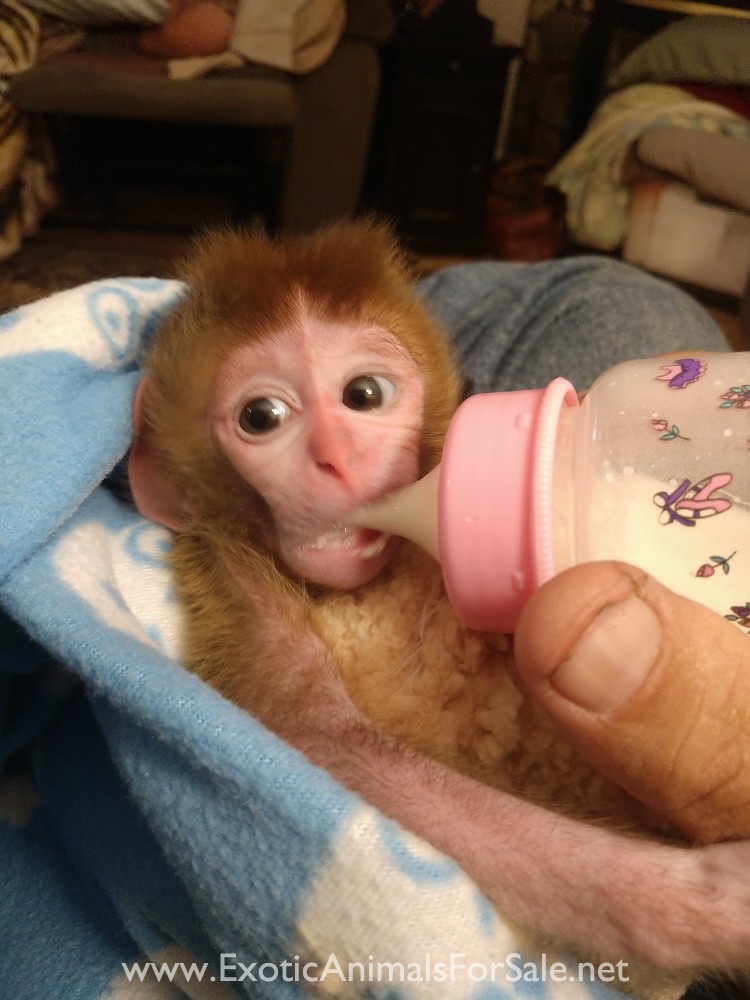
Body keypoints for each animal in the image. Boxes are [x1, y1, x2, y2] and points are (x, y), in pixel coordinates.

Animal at [127, 220, 750, 995]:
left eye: (363, 394)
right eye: (260, 416)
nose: (337, 456)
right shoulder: (233, 586)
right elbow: (313, 741)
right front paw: (707, 900)